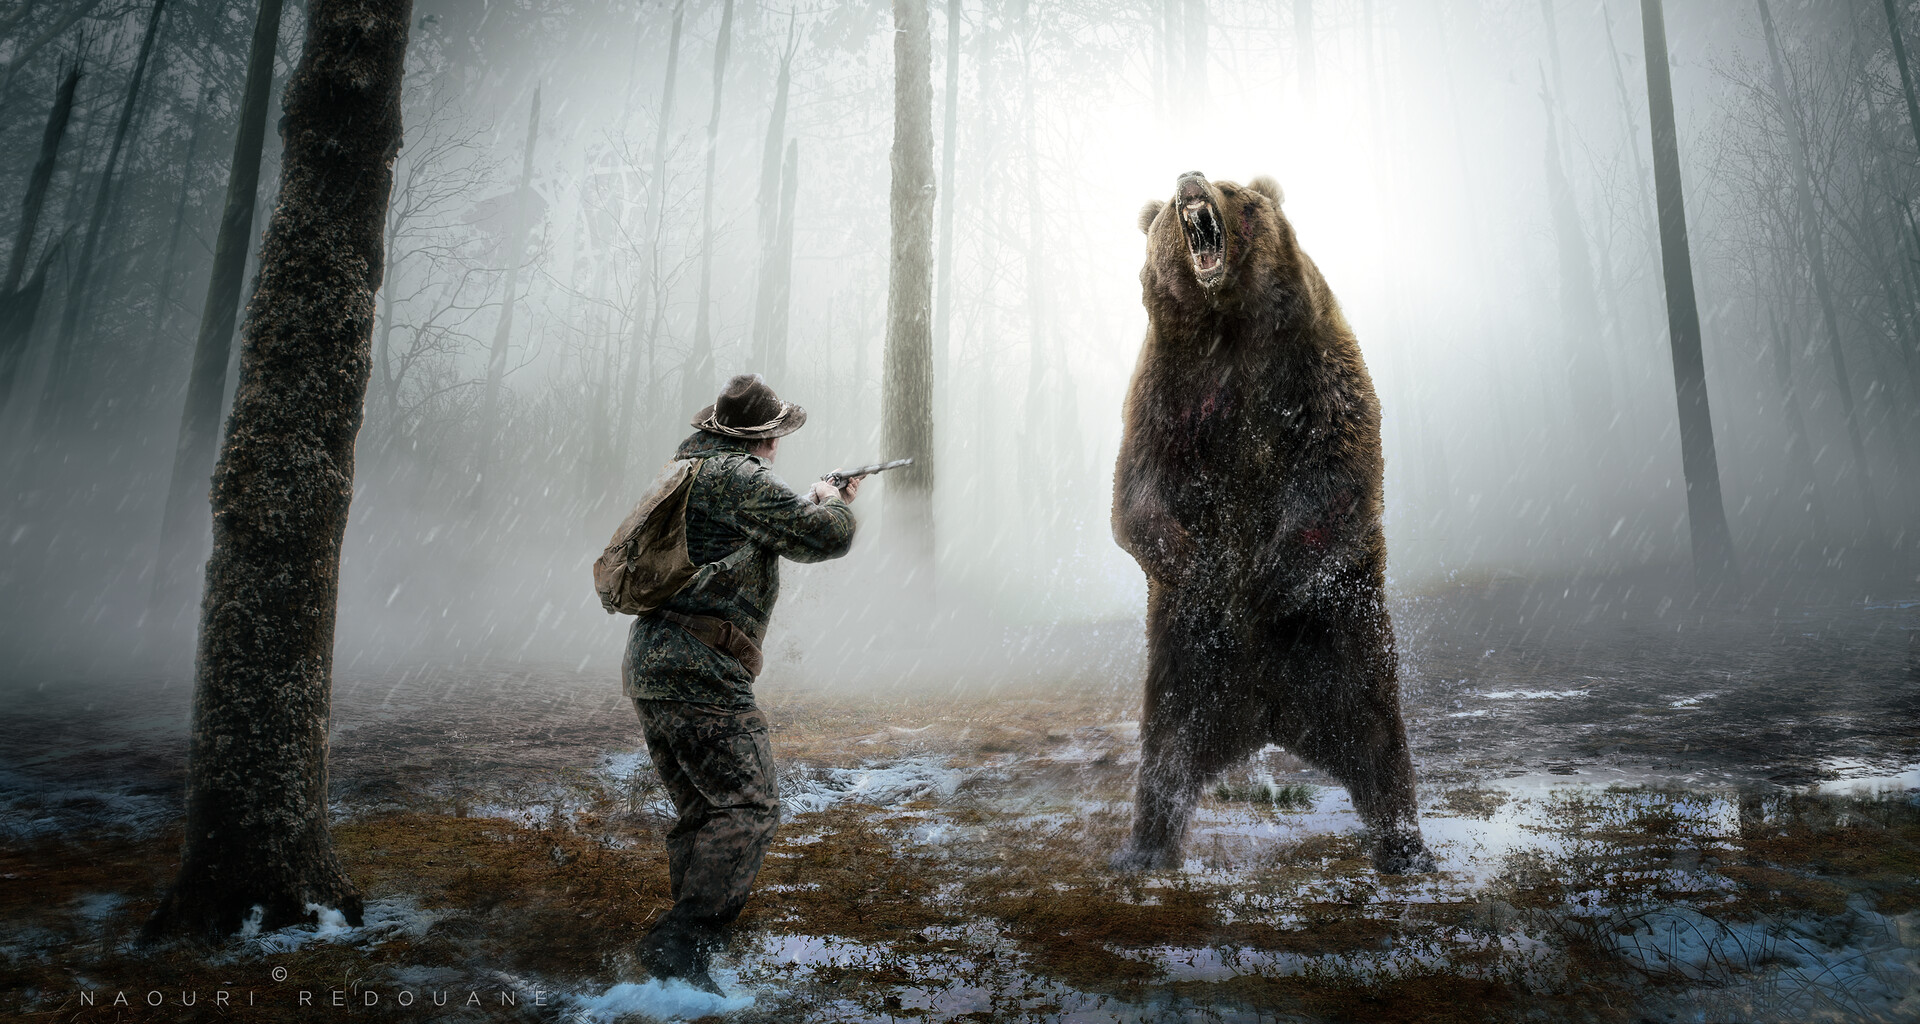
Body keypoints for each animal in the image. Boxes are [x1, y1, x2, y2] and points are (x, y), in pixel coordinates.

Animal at [1109, 171, 1433, 875]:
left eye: (1233, 187)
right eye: (1166, 206)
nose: (1189, 177)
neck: (1227, 324)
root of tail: (1268, 715)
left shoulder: (1309, 364)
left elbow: (1338, 469)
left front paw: (1261, 581)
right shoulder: (1169, 390)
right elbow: (1138, 492)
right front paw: (1202, 567)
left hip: (1345, 640)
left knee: (1380, 744)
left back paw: (1405, 848)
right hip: (1184, 665)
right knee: (1165, 758)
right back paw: (1143, 850)